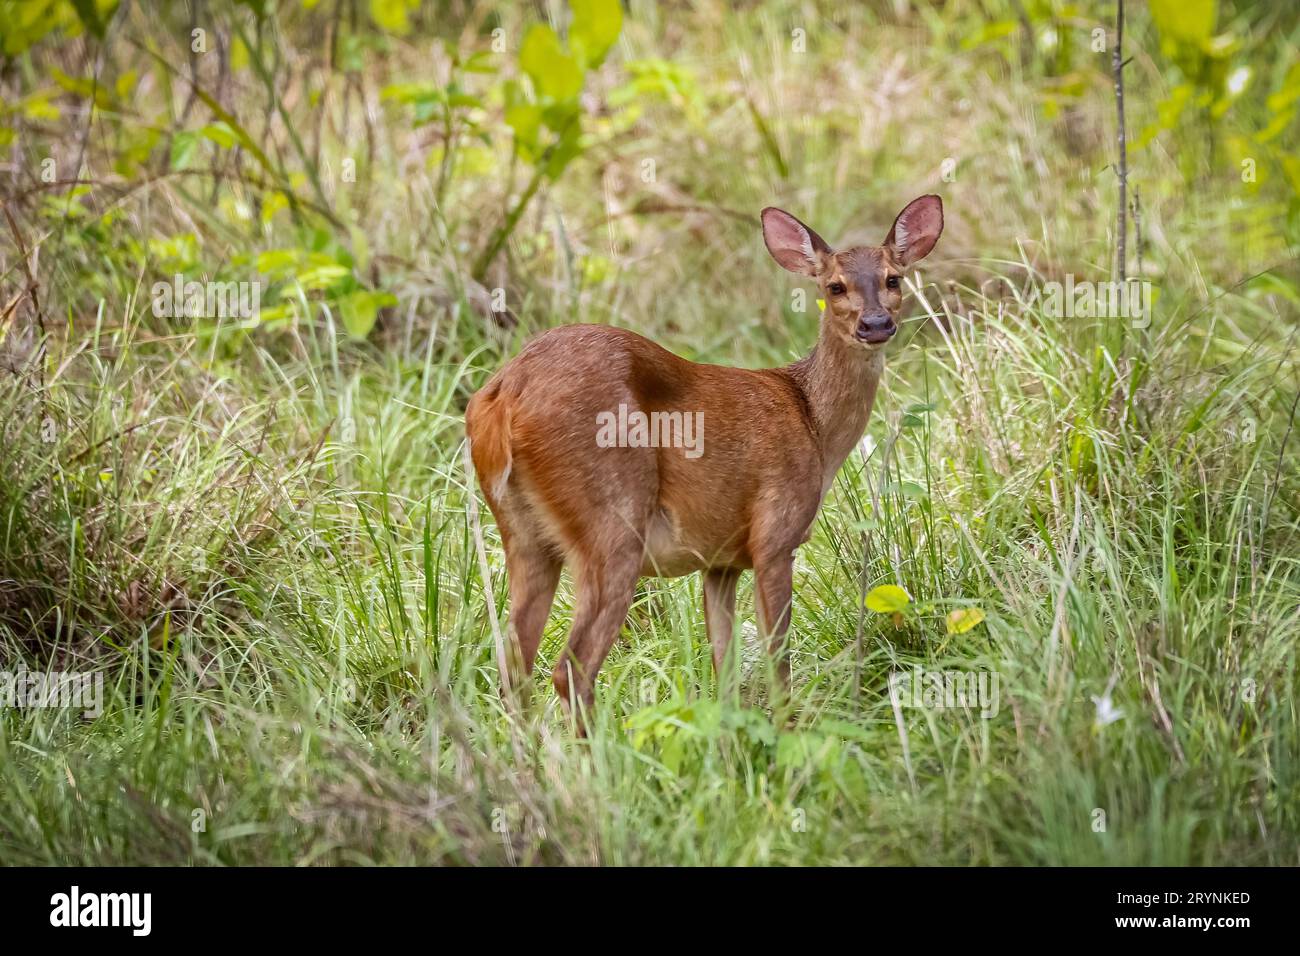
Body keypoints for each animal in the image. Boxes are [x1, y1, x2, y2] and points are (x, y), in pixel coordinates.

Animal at [465, 194, 943, 732]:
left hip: (524, 534)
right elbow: (778, 662)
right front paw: (788, 733)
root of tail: (503, 397)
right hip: (612, 522)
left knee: (513, 664)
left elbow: (726, 672)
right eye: (834, 285)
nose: (876, 325)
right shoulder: (775, 535)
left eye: (893, 278)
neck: (813, 423)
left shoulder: (720, 561)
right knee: (570, 667)